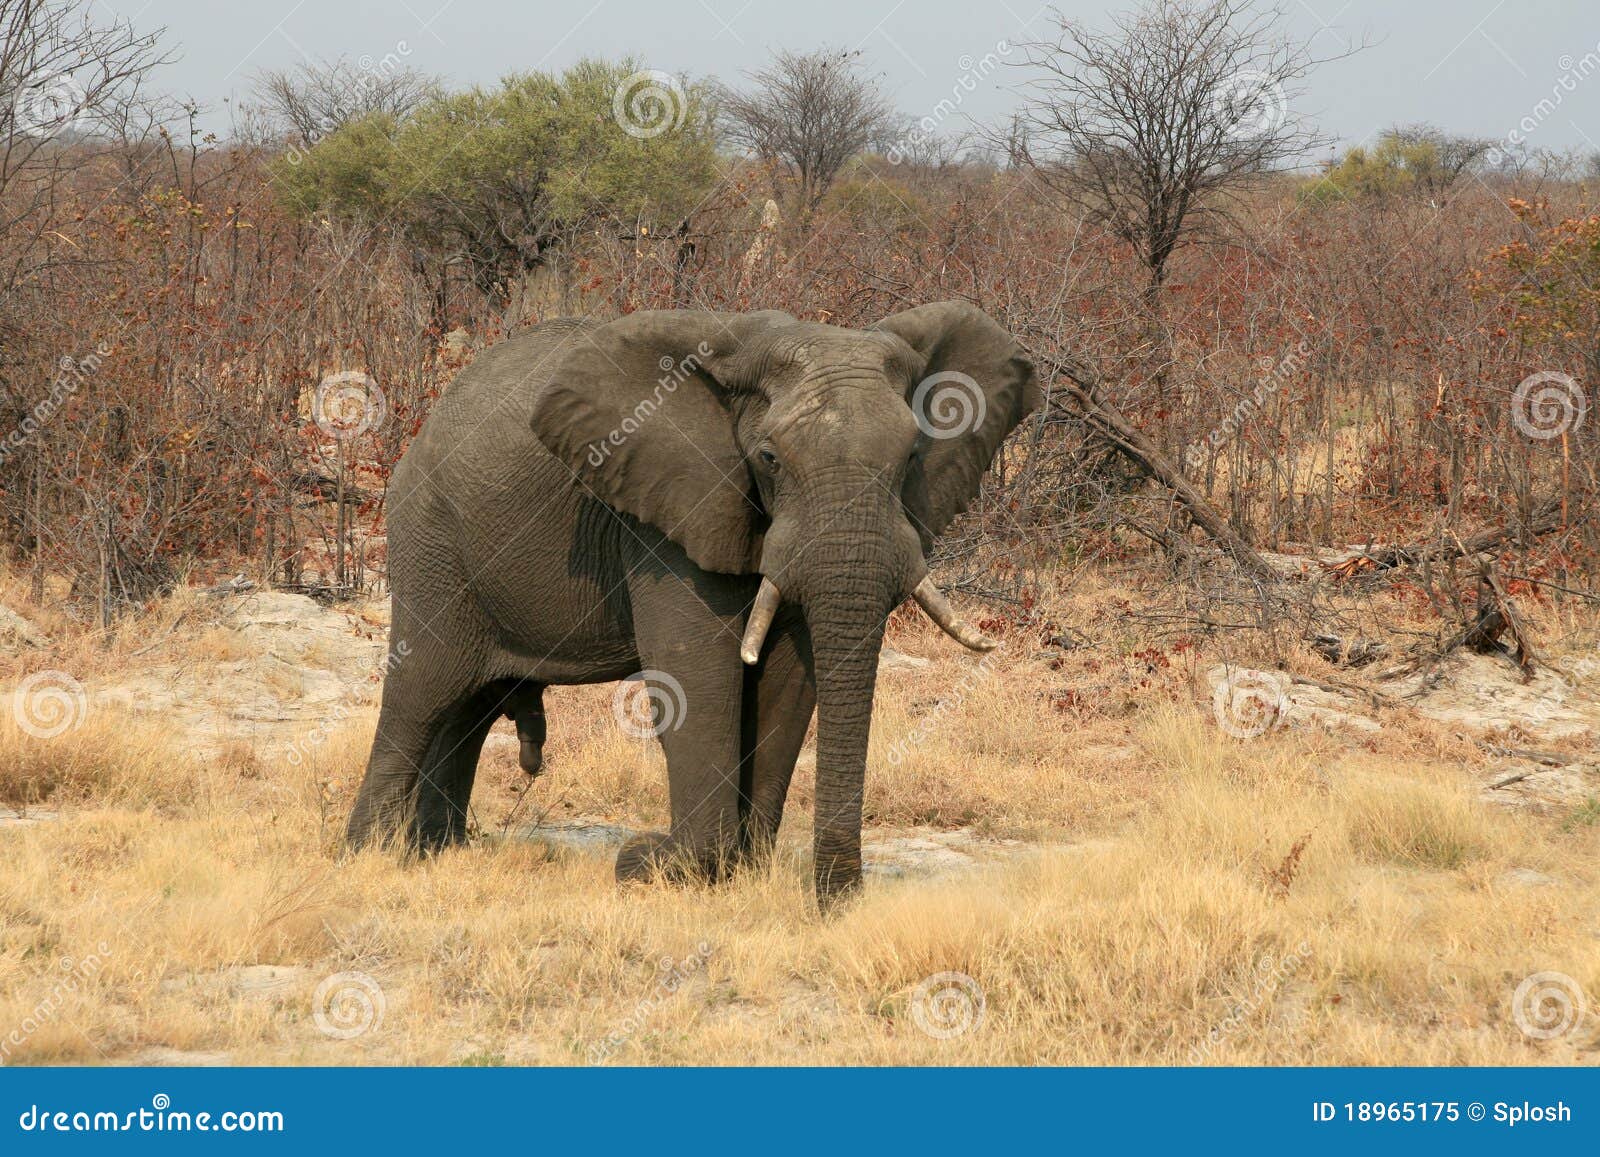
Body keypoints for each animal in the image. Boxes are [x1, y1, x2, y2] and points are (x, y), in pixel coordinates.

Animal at [344, 301, 1039, 909]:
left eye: (912, 457)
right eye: (769, 459)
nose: (837, 906)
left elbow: (788, 679)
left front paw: (739, 869)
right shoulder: (667, 507)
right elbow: (696, 671)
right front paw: (659, 864)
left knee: (469, 707)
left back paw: (437, 851)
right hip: (432, 541)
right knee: (424, 689)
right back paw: (372, 855)